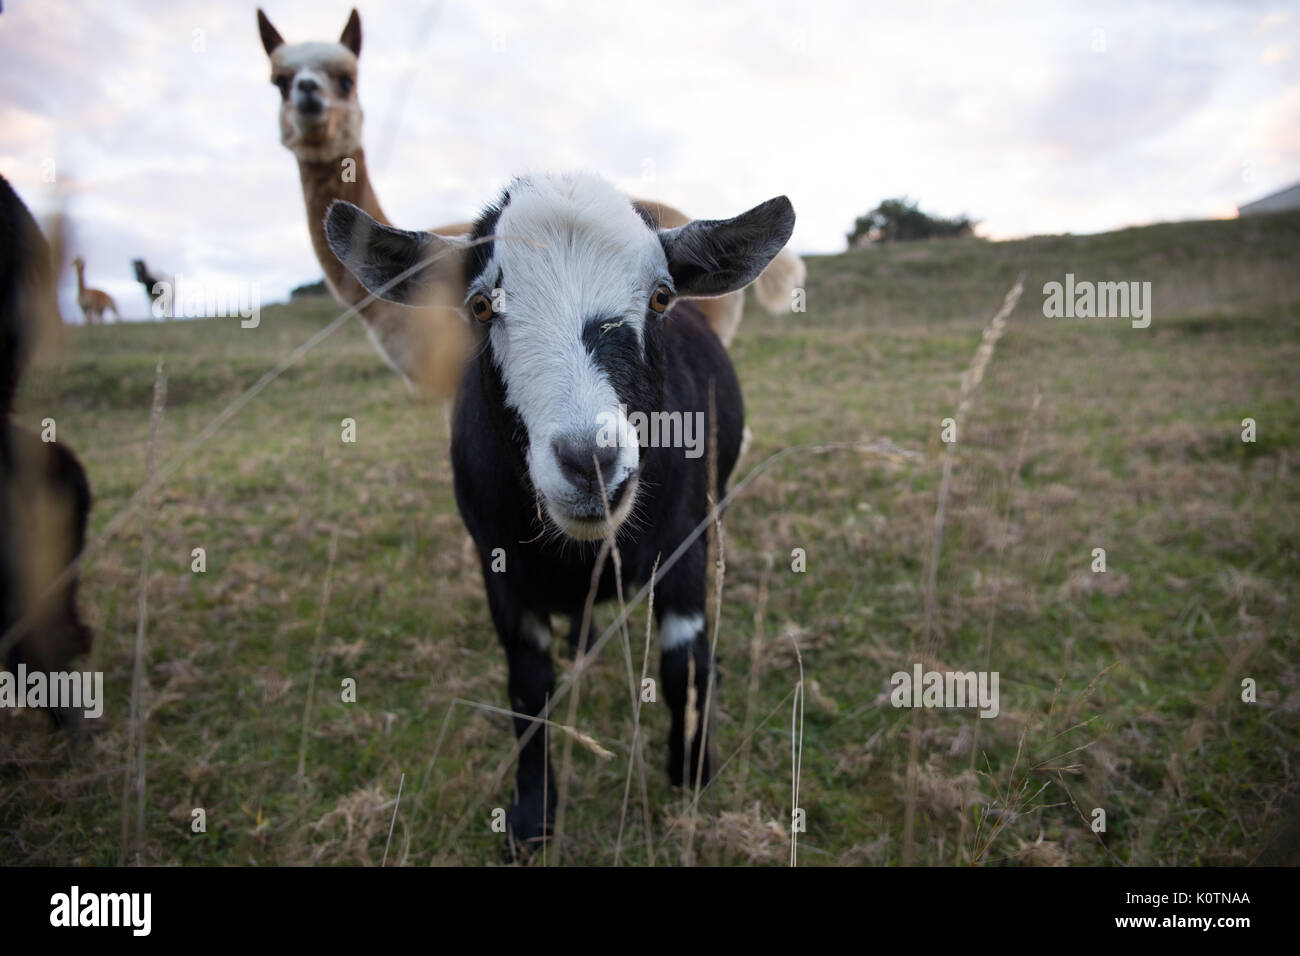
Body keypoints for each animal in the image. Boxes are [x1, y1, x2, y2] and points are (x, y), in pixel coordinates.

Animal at [326, 171, 794, 855]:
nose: (591, 463)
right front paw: (531, 816)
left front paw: (690, 775)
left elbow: (684, 663)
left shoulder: (685, 542)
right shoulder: (496, 566)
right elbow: (528, 686)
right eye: (480, 306)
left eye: (660, 296)